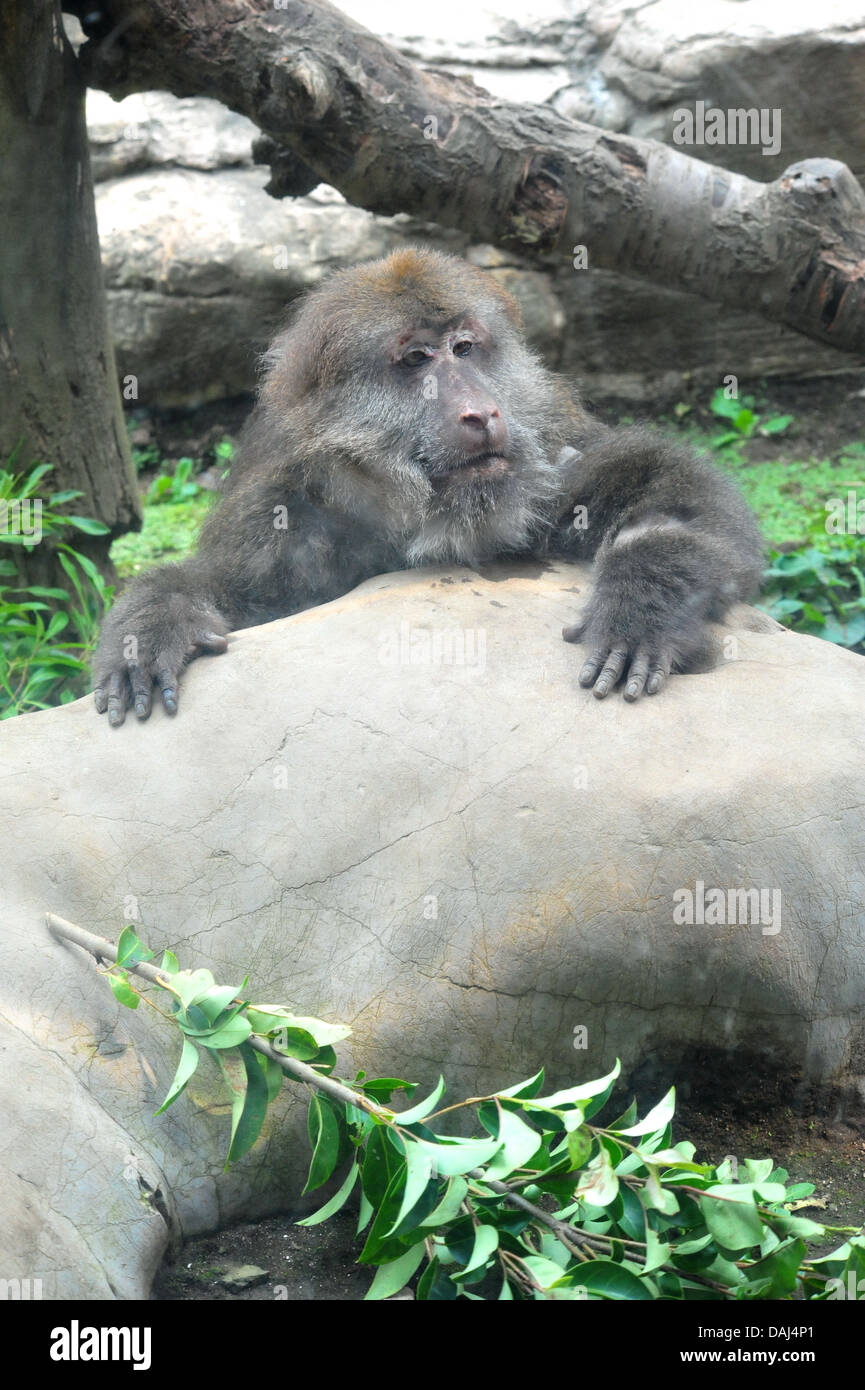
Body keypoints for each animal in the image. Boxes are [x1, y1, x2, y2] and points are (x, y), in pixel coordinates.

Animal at [94, 247, 765, 725]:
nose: (481, 412)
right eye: (418, 359)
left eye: (464, 348)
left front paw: (641, 604)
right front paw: (151, 626)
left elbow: (669, 488)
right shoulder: (283, 514)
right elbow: (231, 589)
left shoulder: (548, 458)